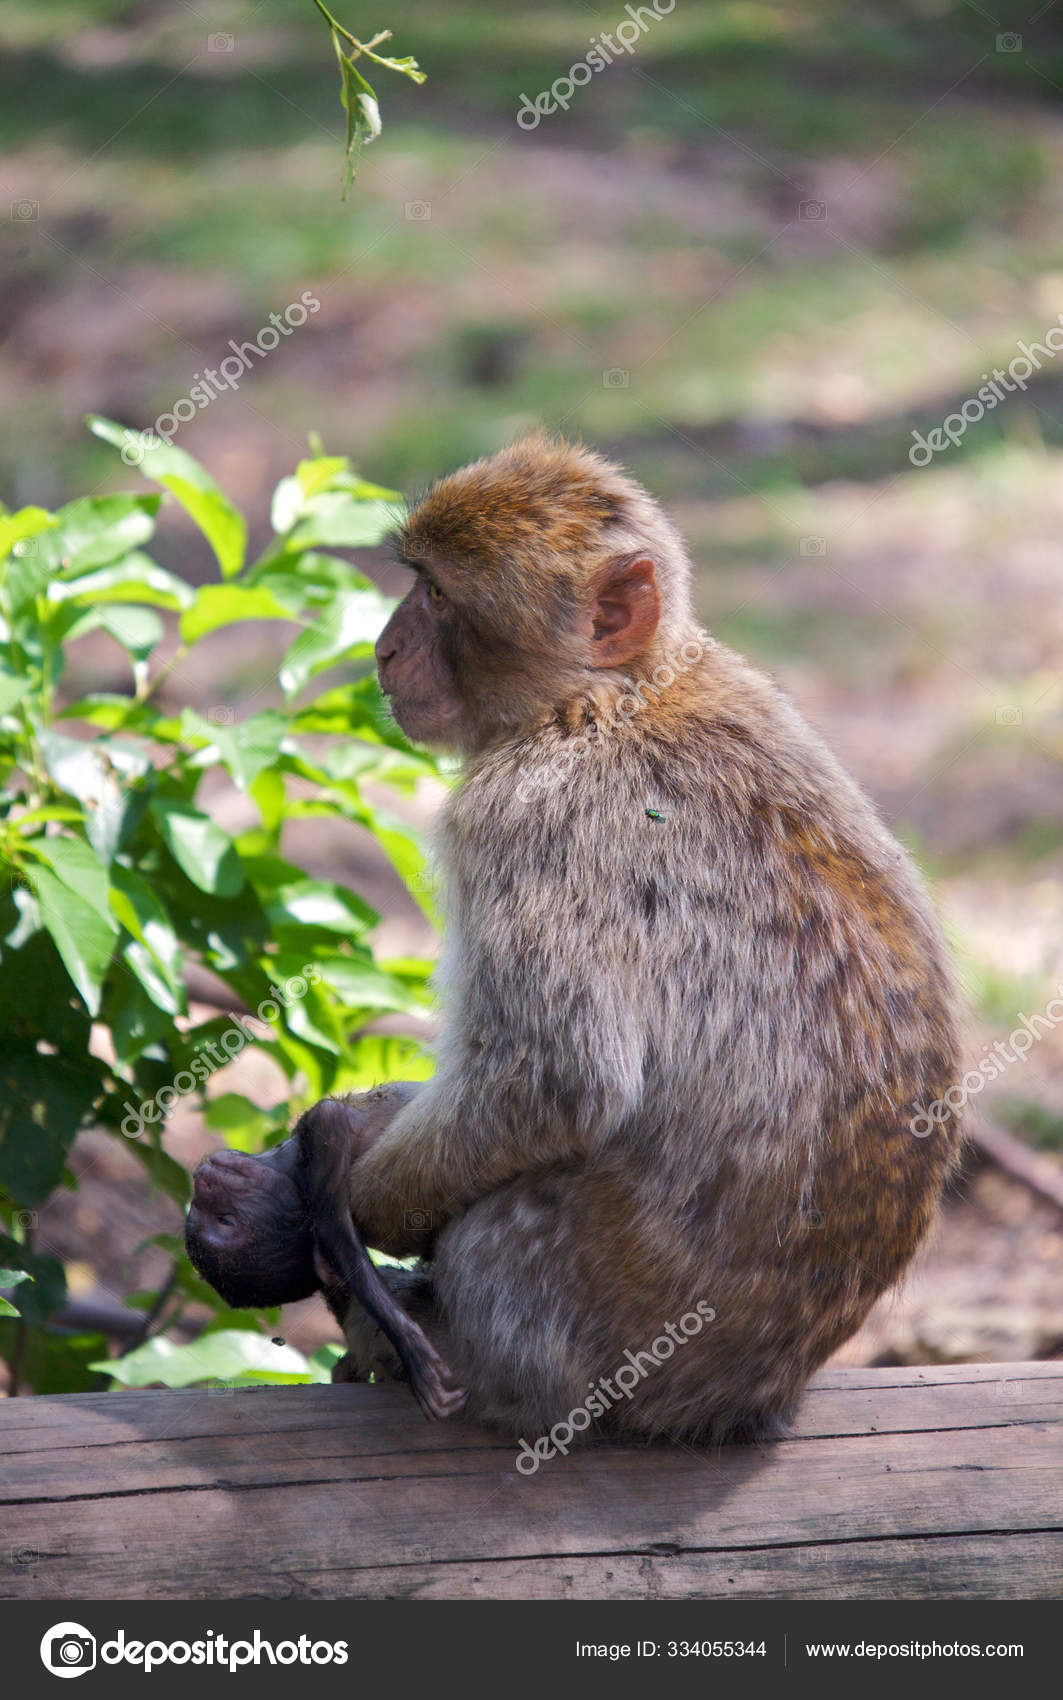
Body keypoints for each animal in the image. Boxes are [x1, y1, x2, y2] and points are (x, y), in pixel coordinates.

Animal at [185, 1087, 464, 1420]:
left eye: (224, 1221)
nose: (201, 1183)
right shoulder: (326, 1136)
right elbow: (339, 1235)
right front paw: (410, 1347)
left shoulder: (320, 1132)